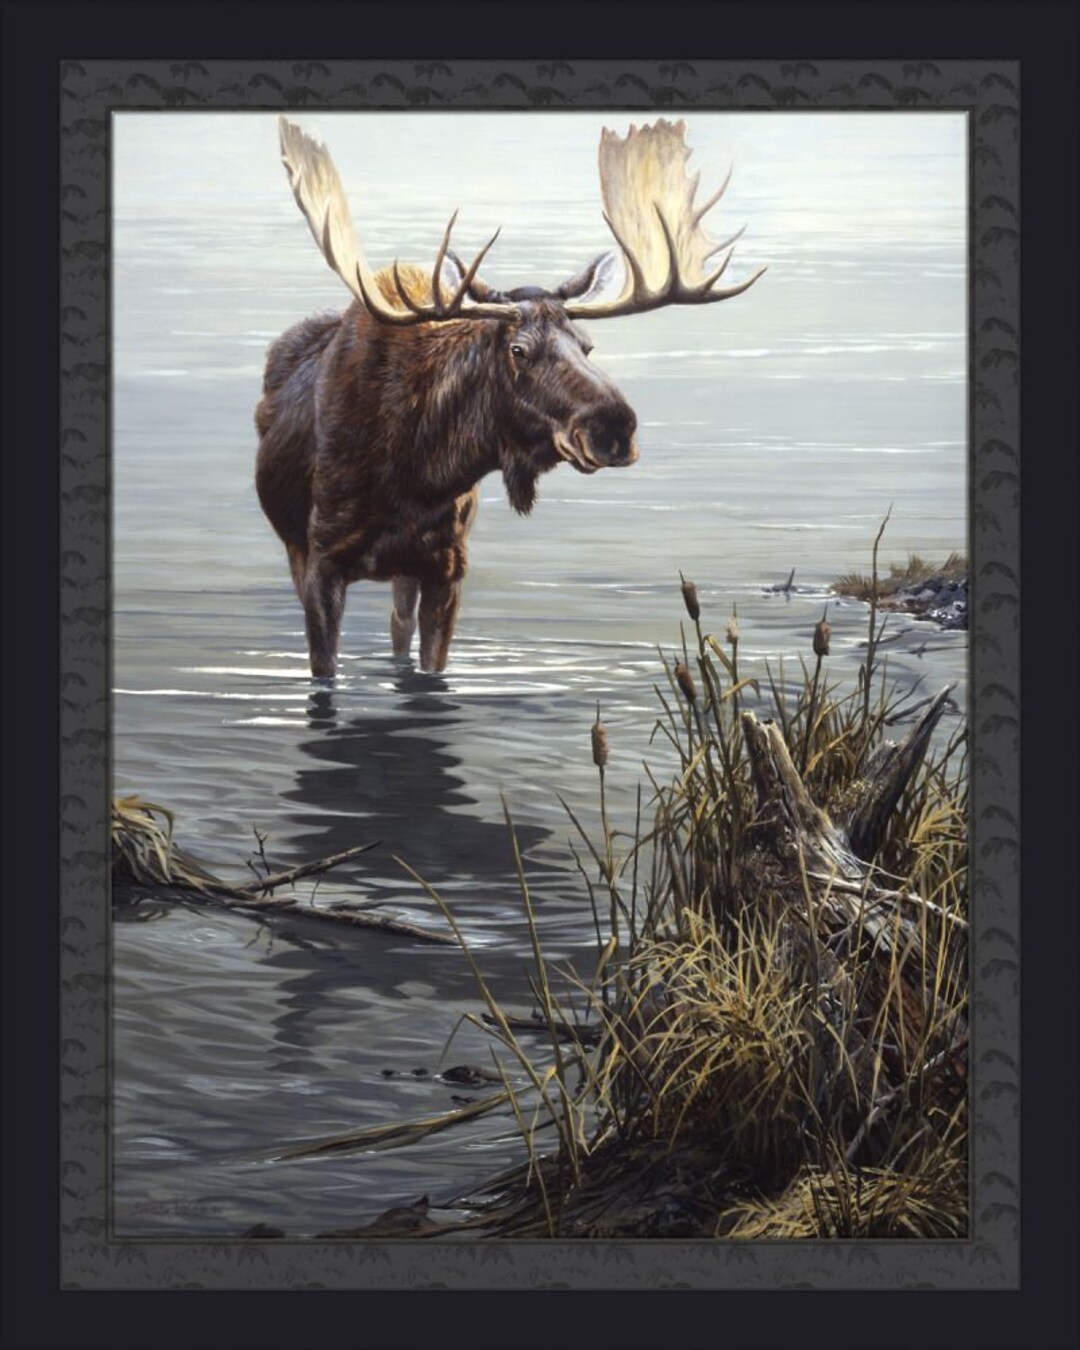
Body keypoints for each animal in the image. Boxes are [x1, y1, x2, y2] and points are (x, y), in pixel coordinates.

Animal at [255, 116, 764, 677]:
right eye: (518, 350)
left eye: (587, 345)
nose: (615, 427)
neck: (419, 474)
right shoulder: (323, 560)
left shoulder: (447, 566)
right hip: (297, 546)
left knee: (397, 626)